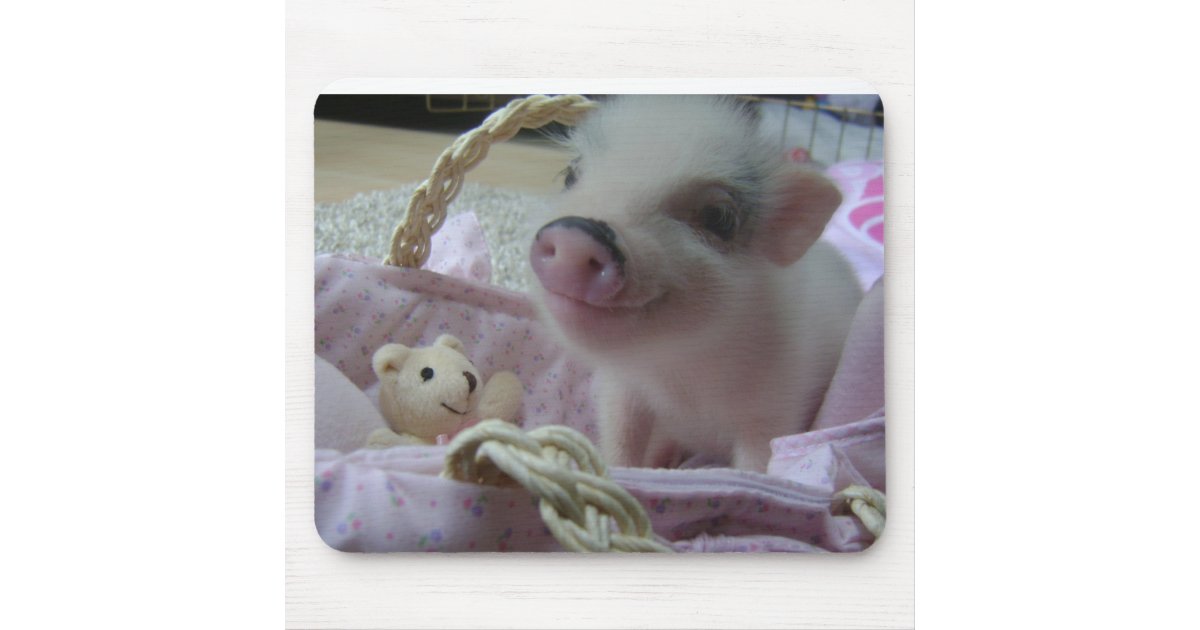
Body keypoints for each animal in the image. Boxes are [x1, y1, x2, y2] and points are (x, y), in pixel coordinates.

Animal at [527, 96, 864, 472]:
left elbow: (755, 466)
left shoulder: (777, 406)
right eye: (571, 176)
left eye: (719, 218)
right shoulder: (621, 388)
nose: (575, 235)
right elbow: (620, 437)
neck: (679, 377)